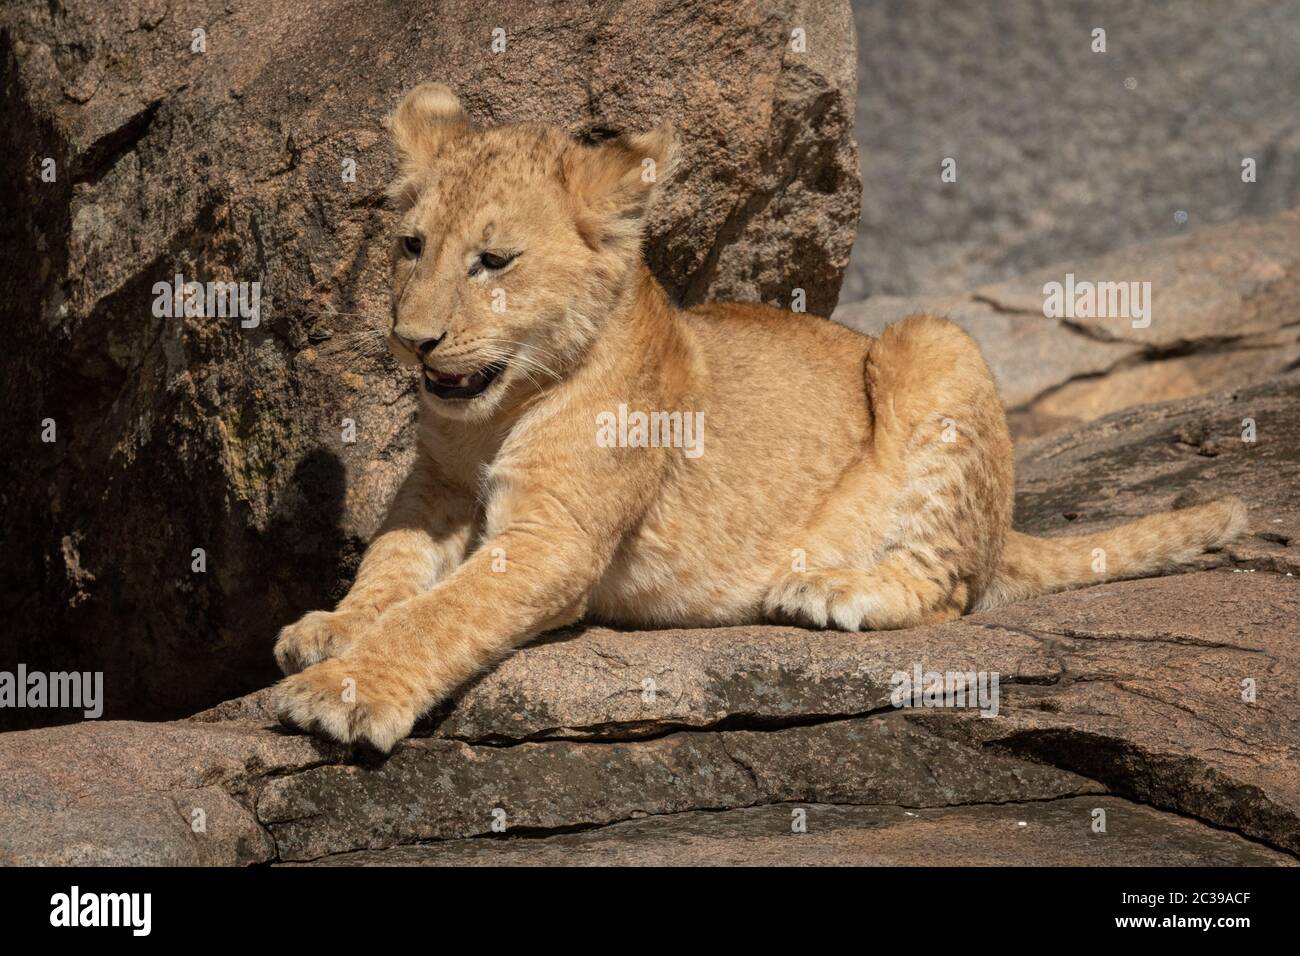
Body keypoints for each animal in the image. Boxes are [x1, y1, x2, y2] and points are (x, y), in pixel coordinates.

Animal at [273, 83, 1247, 752]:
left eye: (494, 261)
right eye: (411, 247)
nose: (413, 342)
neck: (495, 407)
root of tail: (1008, 524)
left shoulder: (555, 539)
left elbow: (444, 614)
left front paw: (346, 691)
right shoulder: (433, 488)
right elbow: (392, 567)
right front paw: (328, 628)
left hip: (930, 342)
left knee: (949, 590)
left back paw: (831, 588)